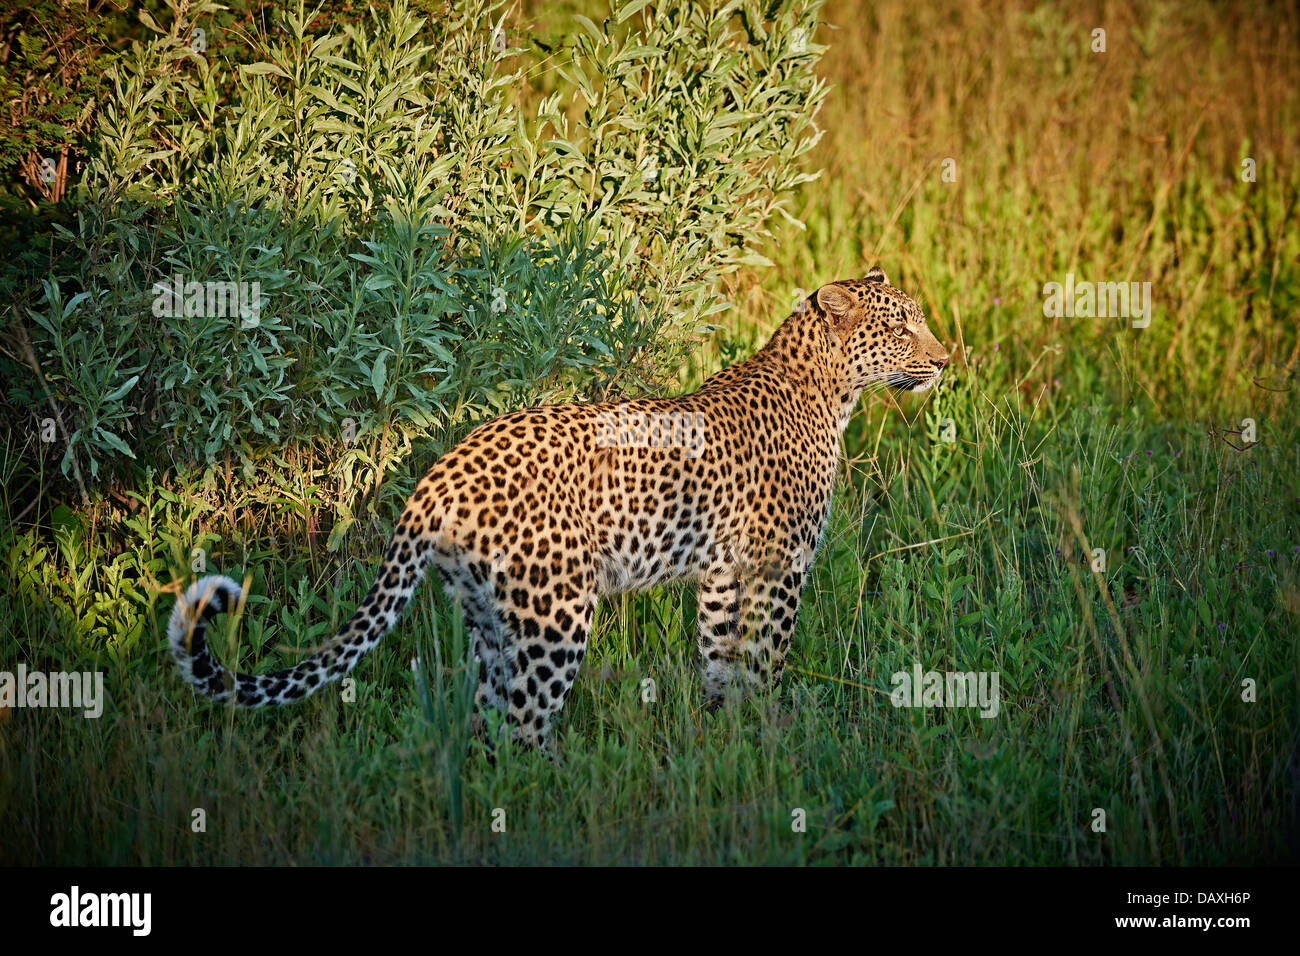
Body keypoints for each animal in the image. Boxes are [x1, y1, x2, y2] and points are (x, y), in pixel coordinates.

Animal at [168, 266, 949, 748]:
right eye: (902, 328)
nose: (945, 360)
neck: (830, 390)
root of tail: (438, 475)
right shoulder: (778, 569)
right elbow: (765, 663)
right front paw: (766, 744)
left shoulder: (725, 576)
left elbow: (722, 664)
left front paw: (723, 740)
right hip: (557, 611)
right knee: (523, 726)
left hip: (491, 616)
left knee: (487, 723)